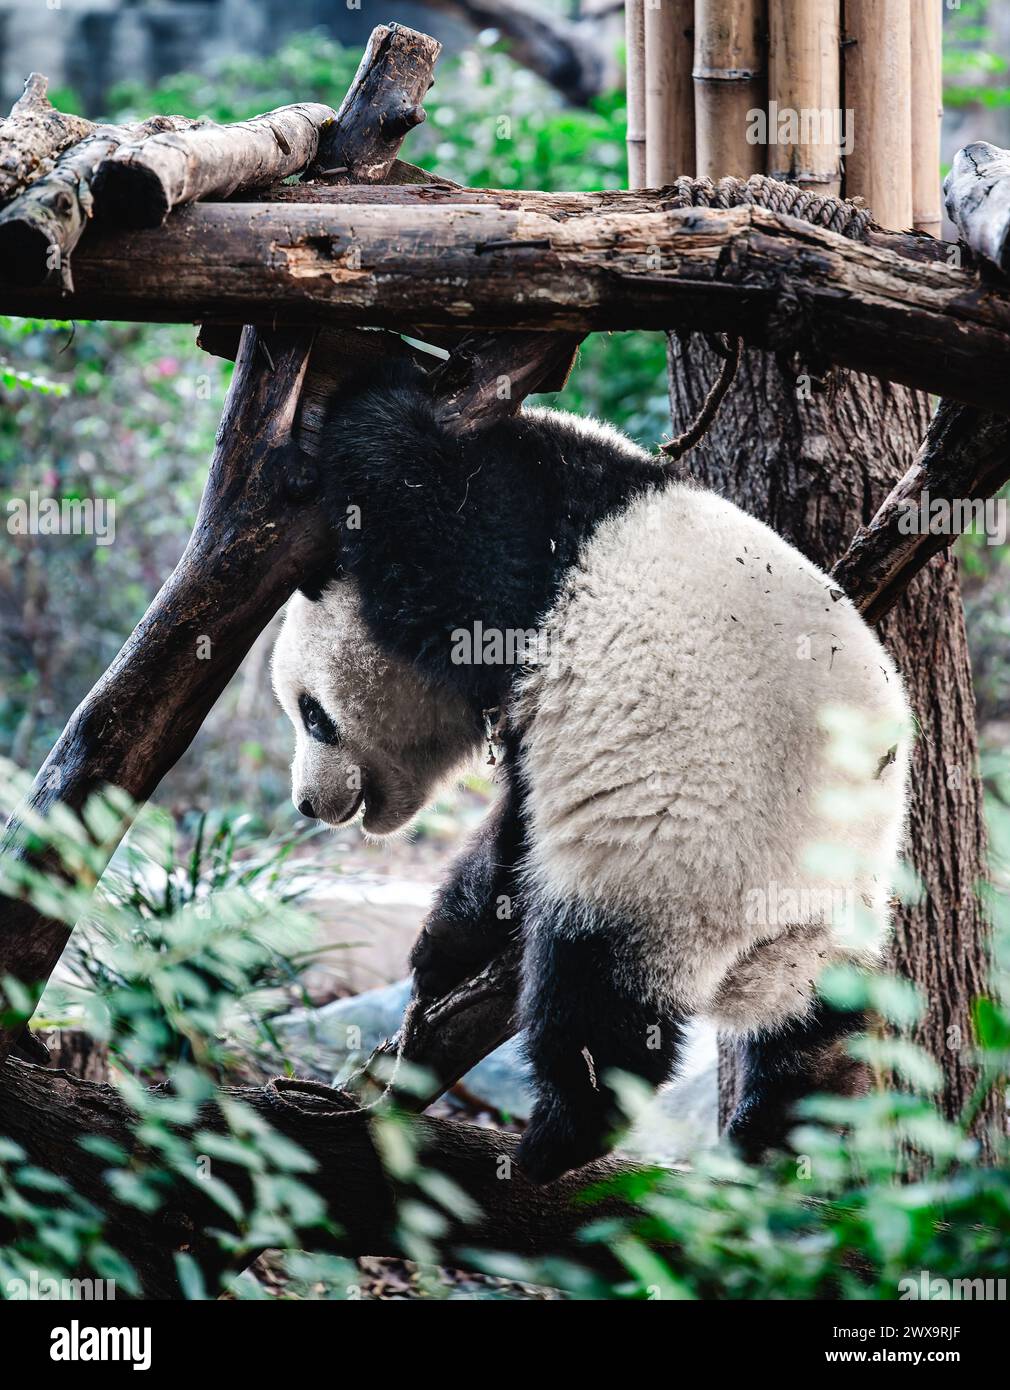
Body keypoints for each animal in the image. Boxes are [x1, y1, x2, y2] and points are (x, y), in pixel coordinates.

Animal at [271, 362, 912, 1184]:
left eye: (313, 715)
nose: (308, 803)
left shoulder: (517, 571)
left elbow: (433, 504)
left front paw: (364, 408)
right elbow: (513, 835)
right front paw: (441, 953)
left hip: (679, 858)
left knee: (598, 991)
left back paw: (557, 1137)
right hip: (841, 903)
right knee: (817, 1025)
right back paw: (777, 1134)